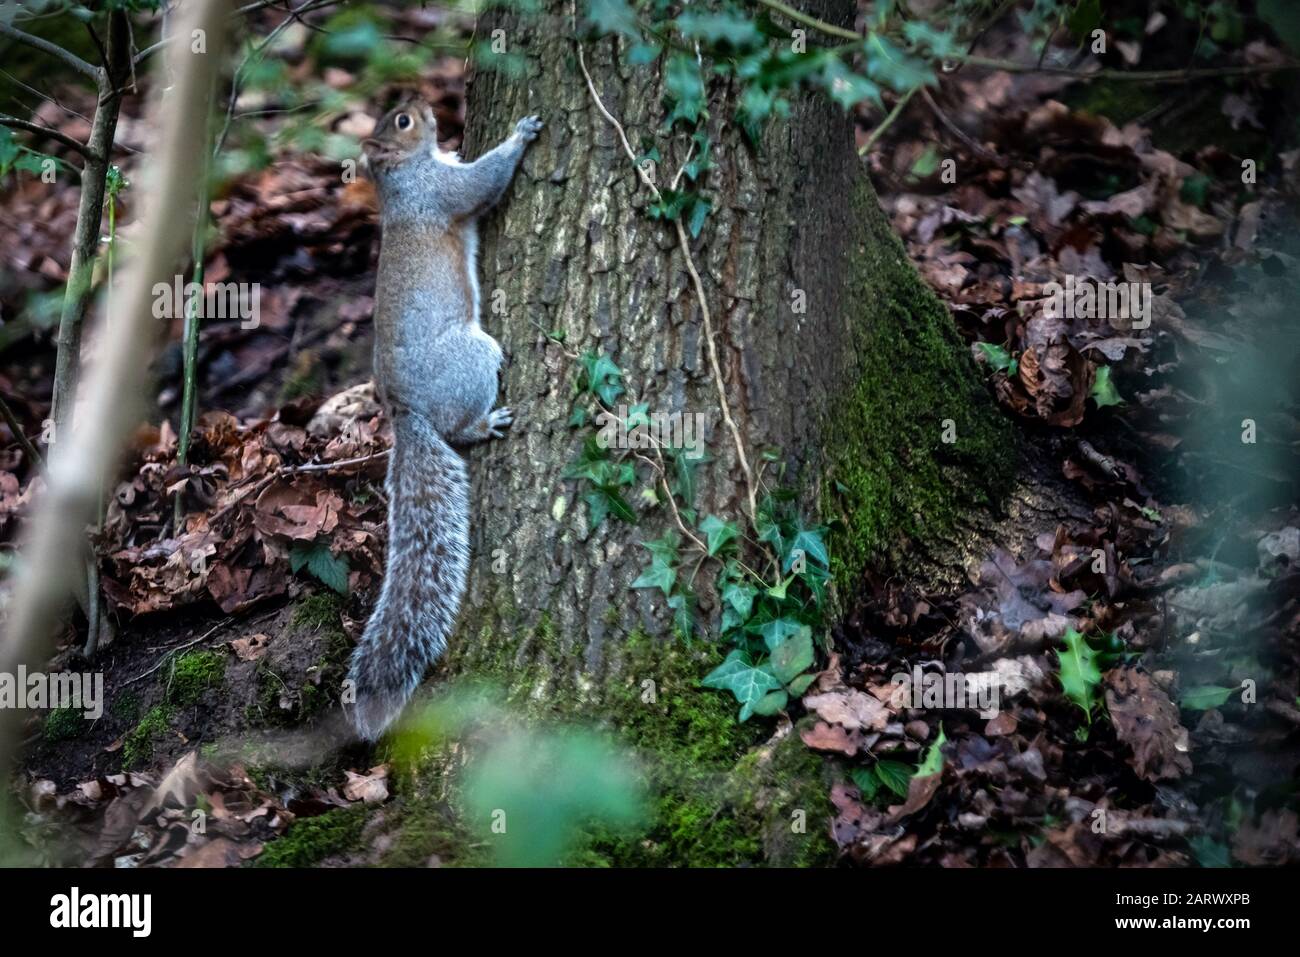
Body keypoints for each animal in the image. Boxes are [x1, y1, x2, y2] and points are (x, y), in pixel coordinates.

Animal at [348, 99, 543, 740]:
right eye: (403, 123)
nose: (424, 106)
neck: (402, 178)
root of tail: (407, 412)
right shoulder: (441, 192)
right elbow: (480, 183)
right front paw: (520, 137)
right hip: (472, 358)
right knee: (460, 427)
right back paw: (485, 424)